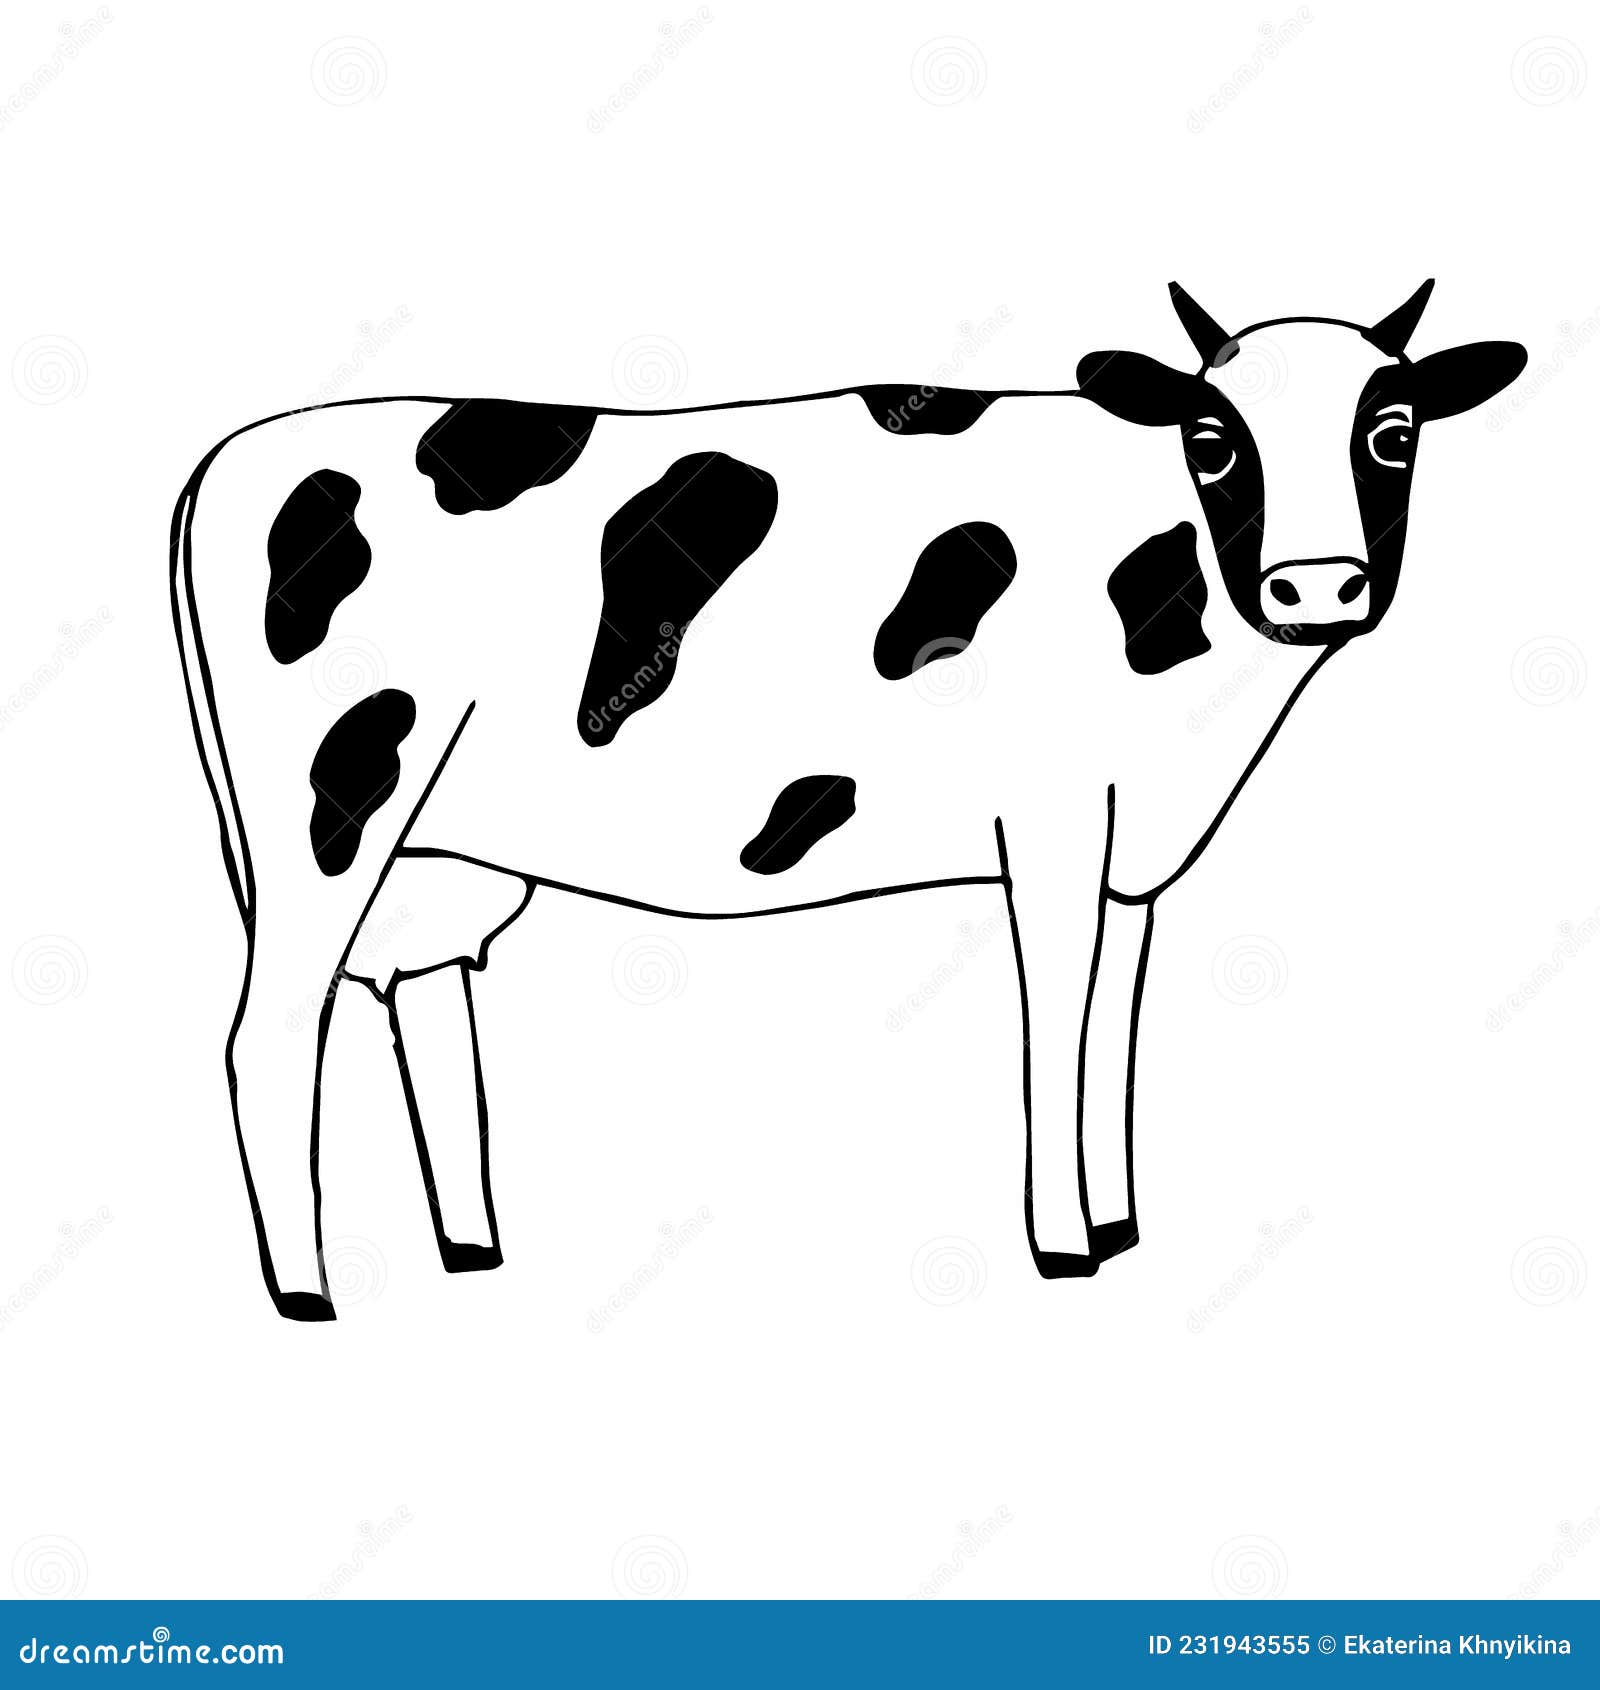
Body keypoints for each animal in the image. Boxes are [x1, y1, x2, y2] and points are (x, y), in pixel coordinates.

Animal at [171, 282, 1526, 1320]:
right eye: (1212, 436)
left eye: (1393, 430)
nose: (1315, 586)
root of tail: (228, 457)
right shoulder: (1048, 818)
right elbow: (1056, 1021)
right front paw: (1063, 1245)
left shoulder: (1130, 852)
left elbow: (1113, 1034)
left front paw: (1120, 1221)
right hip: (327, 810)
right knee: (267, 1034)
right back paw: (308, 1292)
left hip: (443, 857)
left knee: (419, 993)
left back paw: (473, 1248)